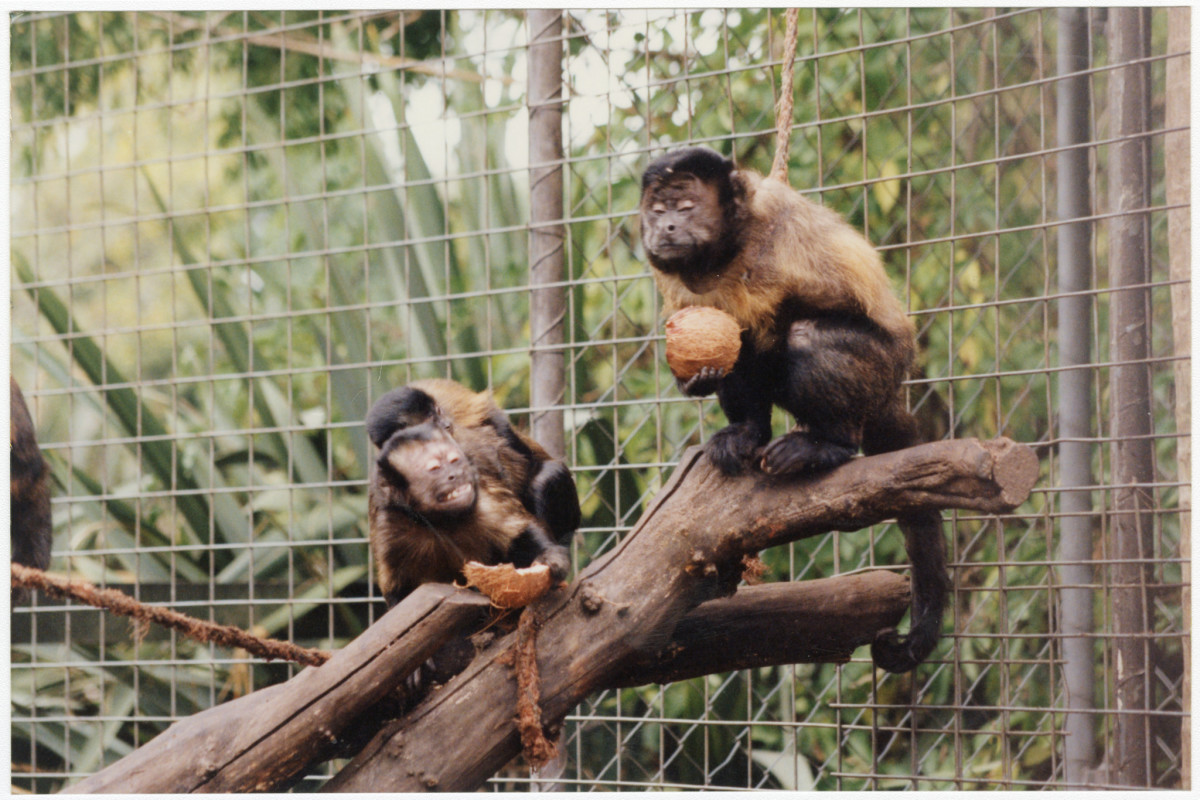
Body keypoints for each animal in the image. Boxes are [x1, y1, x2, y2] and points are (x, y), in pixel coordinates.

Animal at [639, 146, 949, 674]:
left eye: (684, 206)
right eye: (657, 211)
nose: (666, 227)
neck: (726, 253)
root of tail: (890, 391)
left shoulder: (772, 236)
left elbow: (787, 318)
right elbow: (730, 339)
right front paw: (701, 383)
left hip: (881, 369)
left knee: (802, 334)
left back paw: (829, 444)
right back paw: (747, 433)